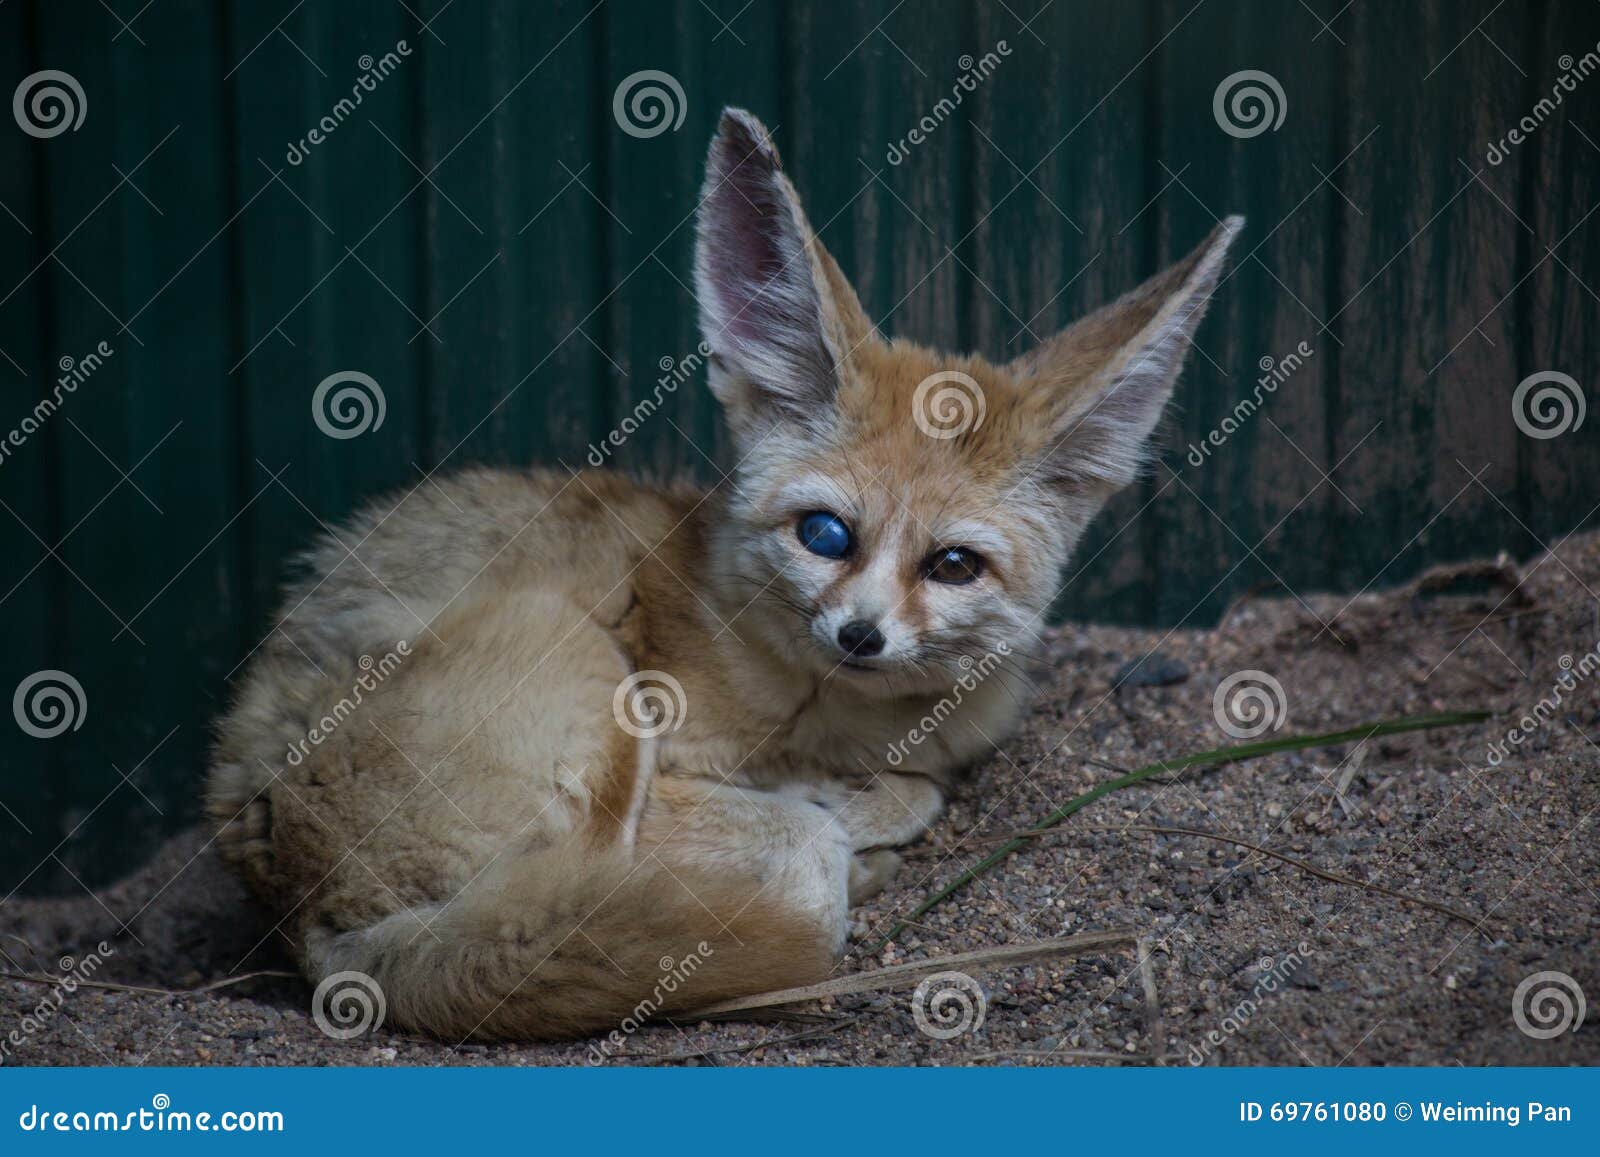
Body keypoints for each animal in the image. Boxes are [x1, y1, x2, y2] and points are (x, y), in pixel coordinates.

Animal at [206, 107, 1240, 1042]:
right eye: (825, 533)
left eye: (953, 564)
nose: (861, 634)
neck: (833, 716)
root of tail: (311, 923)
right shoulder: (673, 760)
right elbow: (846, 816)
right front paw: (834, 810)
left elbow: (912, 786)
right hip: (577, 669)